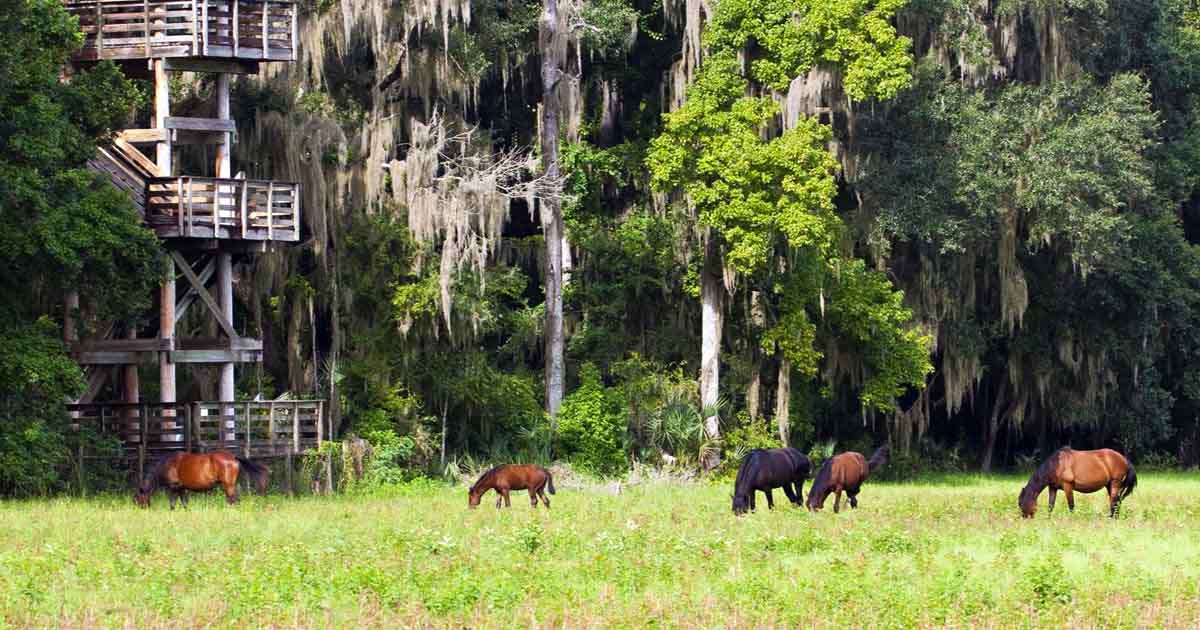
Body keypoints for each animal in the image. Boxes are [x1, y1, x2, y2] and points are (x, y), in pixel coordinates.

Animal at [134, 451, 270, 509]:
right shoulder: (182, 489)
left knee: (233, 500)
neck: (169, 464)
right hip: (231, 485)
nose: (142, 509)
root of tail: (233, 457)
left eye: (139, 498)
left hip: (228, 485)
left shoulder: (173, 488)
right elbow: (185, 503)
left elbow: (172, 504)